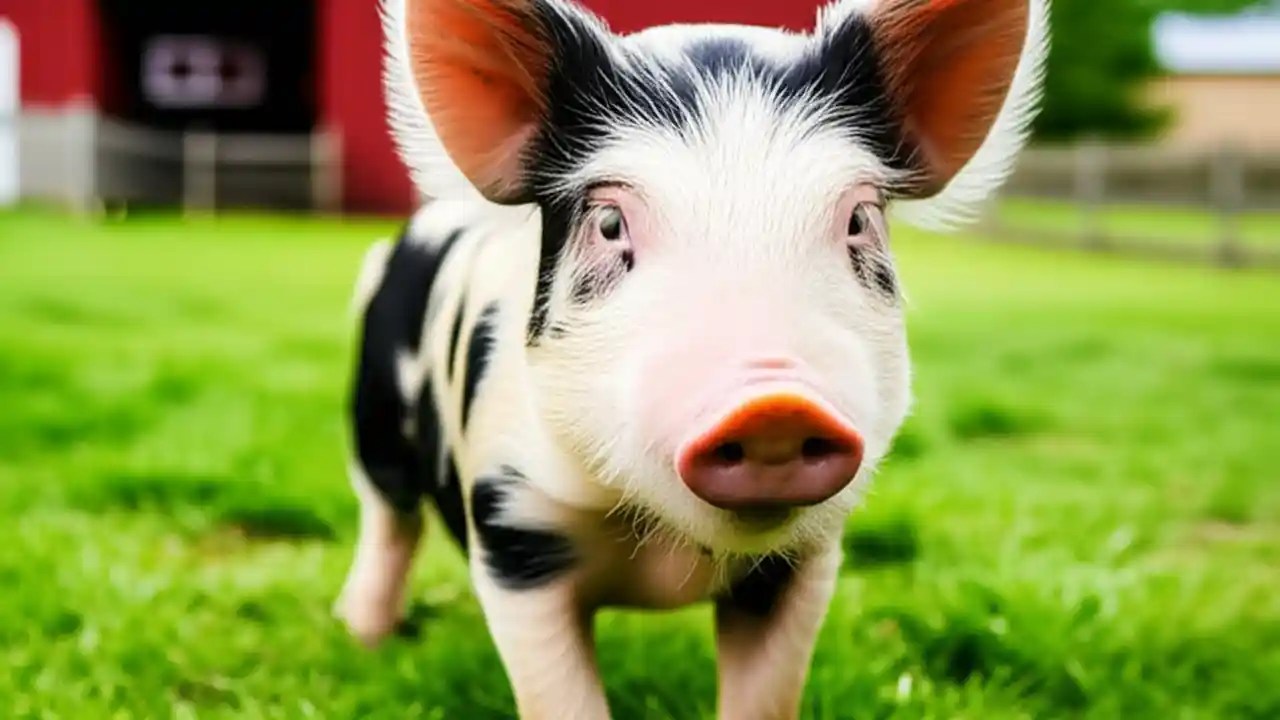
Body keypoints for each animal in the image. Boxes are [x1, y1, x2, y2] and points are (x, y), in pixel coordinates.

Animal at [334, 0, 1049, 717]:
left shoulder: (806, 558)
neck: (663, 548)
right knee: (388, 522)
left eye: (859, 220)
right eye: (610, 224)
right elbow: (558, 694)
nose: (774, 406)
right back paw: (364, 640)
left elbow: (765, 695)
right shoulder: (513, 529)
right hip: (375, 421)